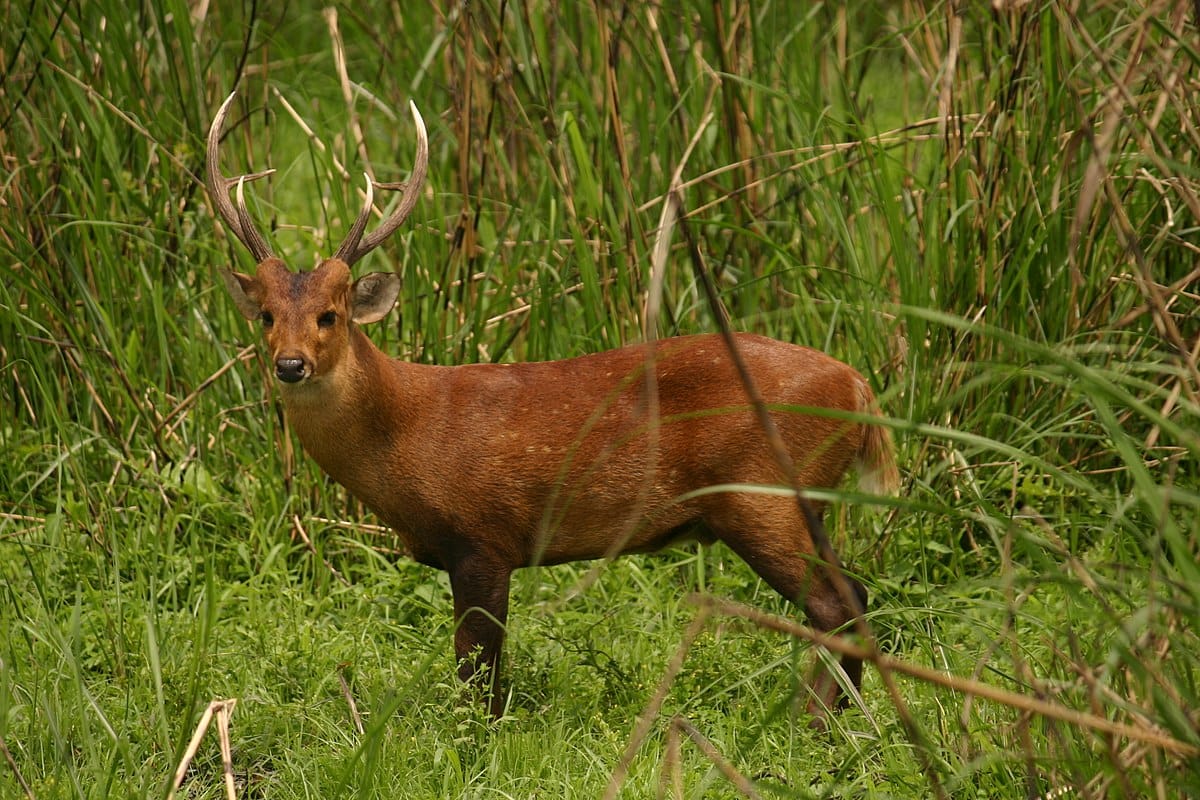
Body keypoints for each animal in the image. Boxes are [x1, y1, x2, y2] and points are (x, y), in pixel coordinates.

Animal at [206, 91, 899, 723]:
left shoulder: (483, 534)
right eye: (266, 315)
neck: (407, 433)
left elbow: (478, 671)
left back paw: (819, 725)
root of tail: (858, 386)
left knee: (839, 604)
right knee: (855, 596)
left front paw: (475, 745)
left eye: (332, 314)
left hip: (764, 494)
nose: (290, 364)